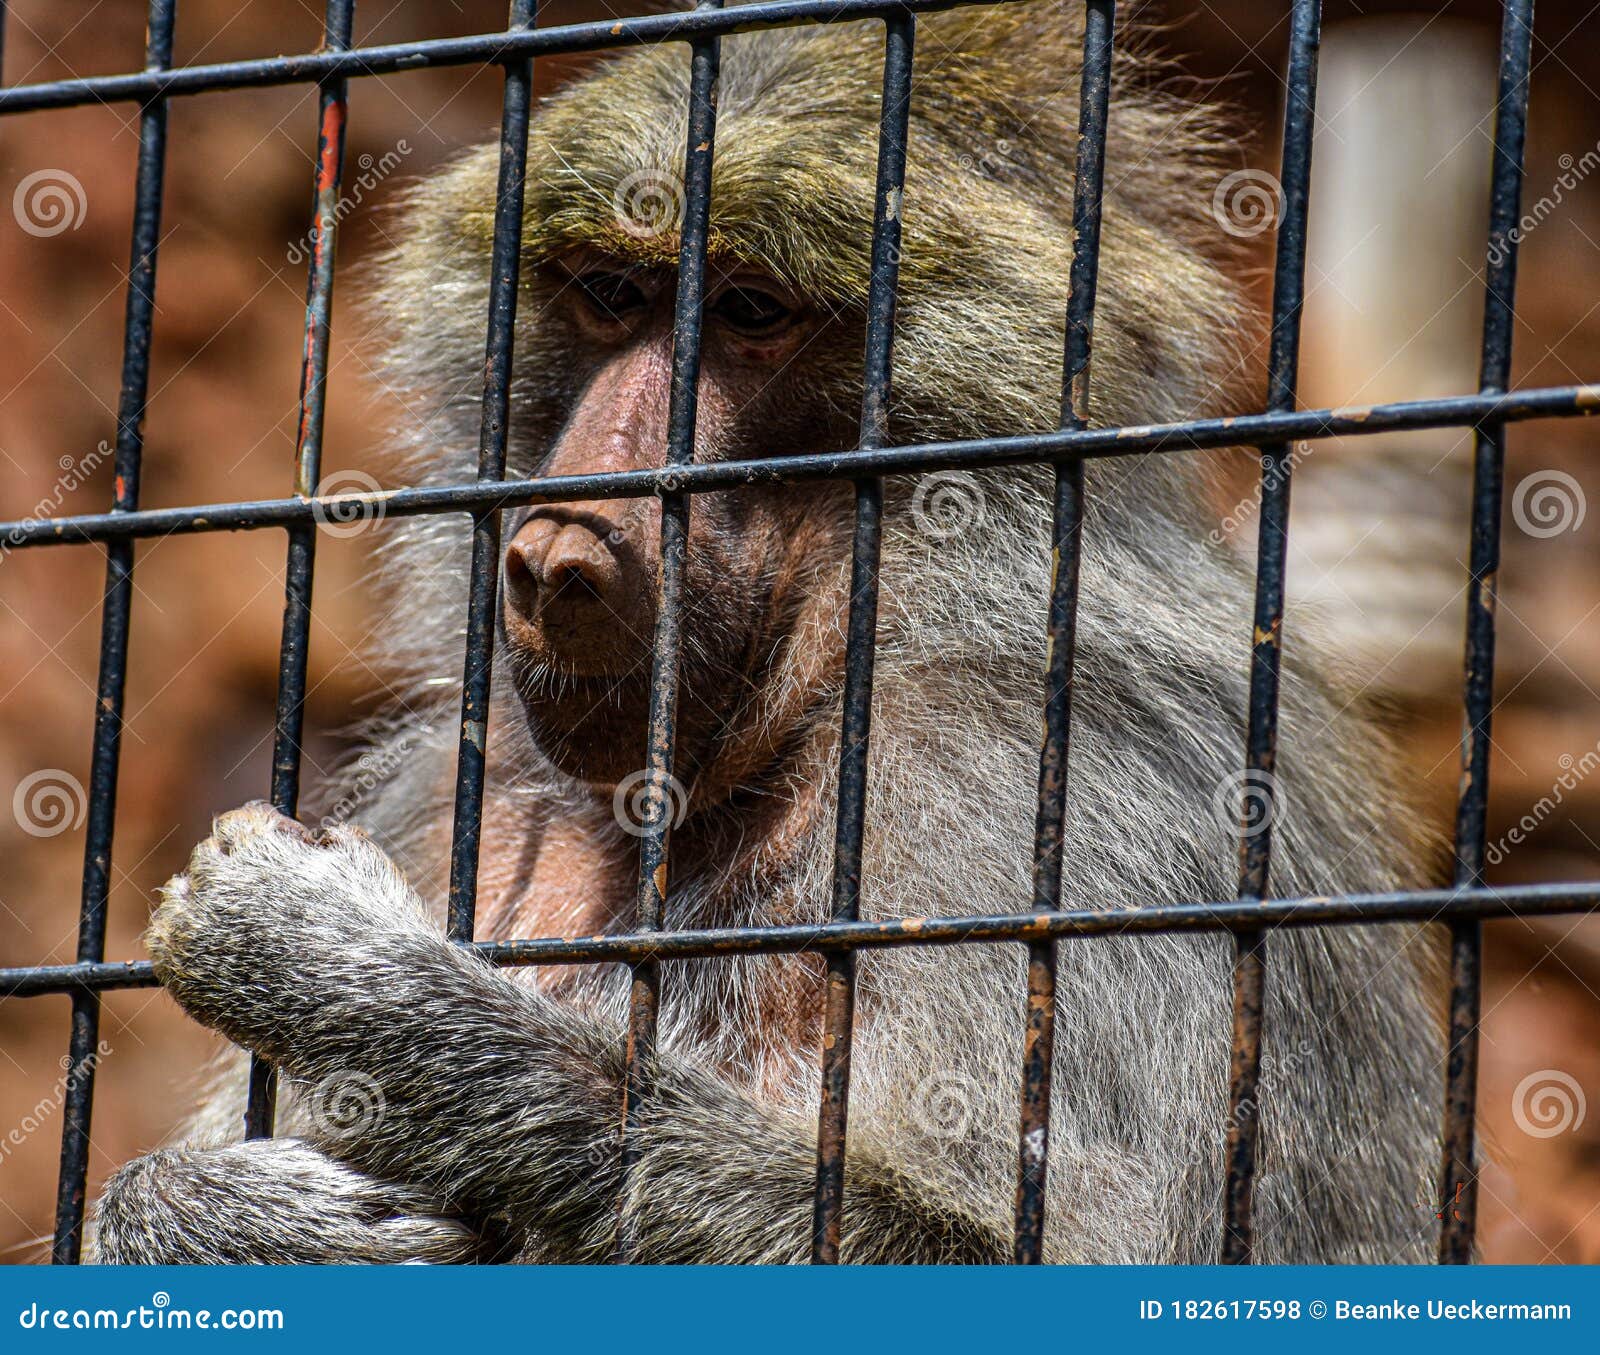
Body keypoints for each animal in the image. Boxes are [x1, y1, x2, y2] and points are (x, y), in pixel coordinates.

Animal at [92, 2, 1447, 1265]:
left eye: (749, 311)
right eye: (611, 292)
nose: (561, 553)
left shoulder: (1057, 781)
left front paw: (344, 974)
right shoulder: (456, 794)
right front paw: (208, 1215)